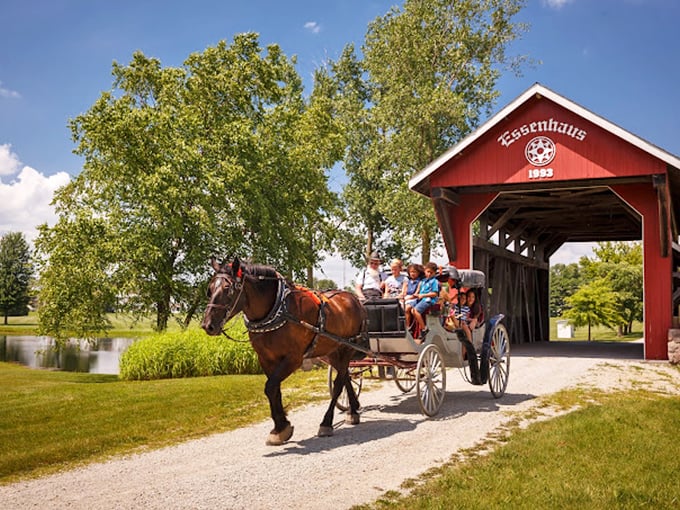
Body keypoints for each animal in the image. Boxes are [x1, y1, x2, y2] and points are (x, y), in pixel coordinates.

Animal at [201, 256, 367, 445]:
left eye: (228, 289)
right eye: (210, 289)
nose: (207, 325)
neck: (279, 310)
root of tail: (354, 299)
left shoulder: (293, 359)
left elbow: (270, 387)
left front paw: (281, 427)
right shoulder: (266, 359)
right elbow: (274, 389)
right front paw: (280, 428)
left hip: (347, 347)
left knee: (339, 383)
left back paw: (326, 422)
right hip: (332, 350)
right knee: (345, 375)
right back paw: (353, 410)